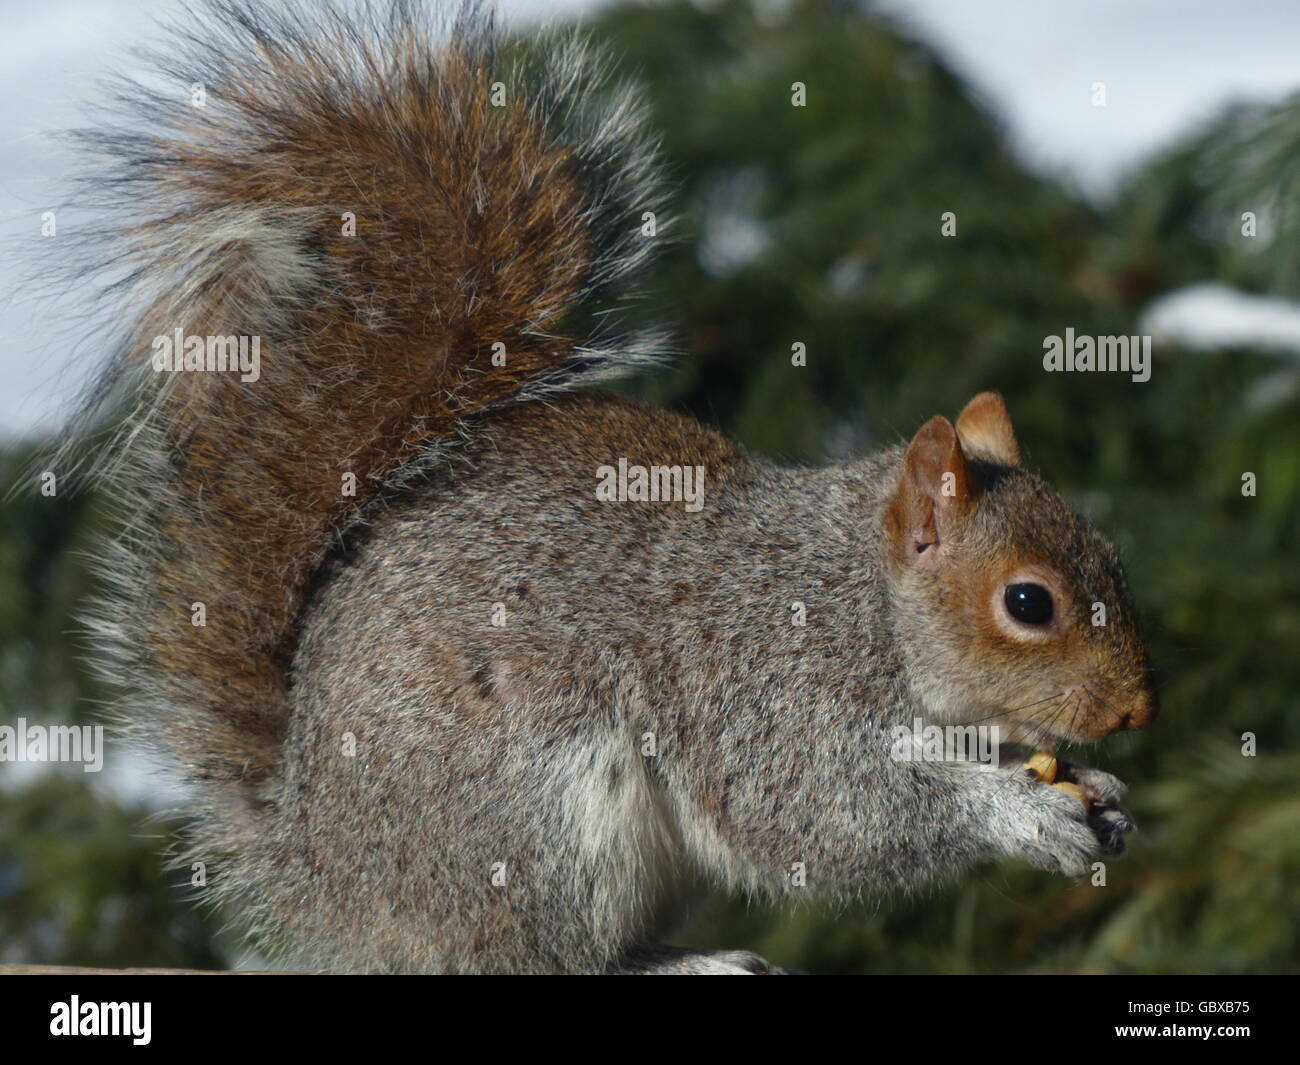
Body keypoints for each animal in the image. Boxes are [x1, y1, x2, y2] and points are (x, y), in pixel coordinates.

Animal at [56, 0, 1158, 974]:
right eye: (1028, 602)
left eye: (1114, 555)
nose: (1138, 710)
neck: (865, 603)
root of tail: (327, 879)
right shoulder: (770, 690)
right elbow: (827, 814)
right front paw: (1019, 813)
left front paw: (1095, 788)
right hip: (533, 821)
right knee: (541, 959)